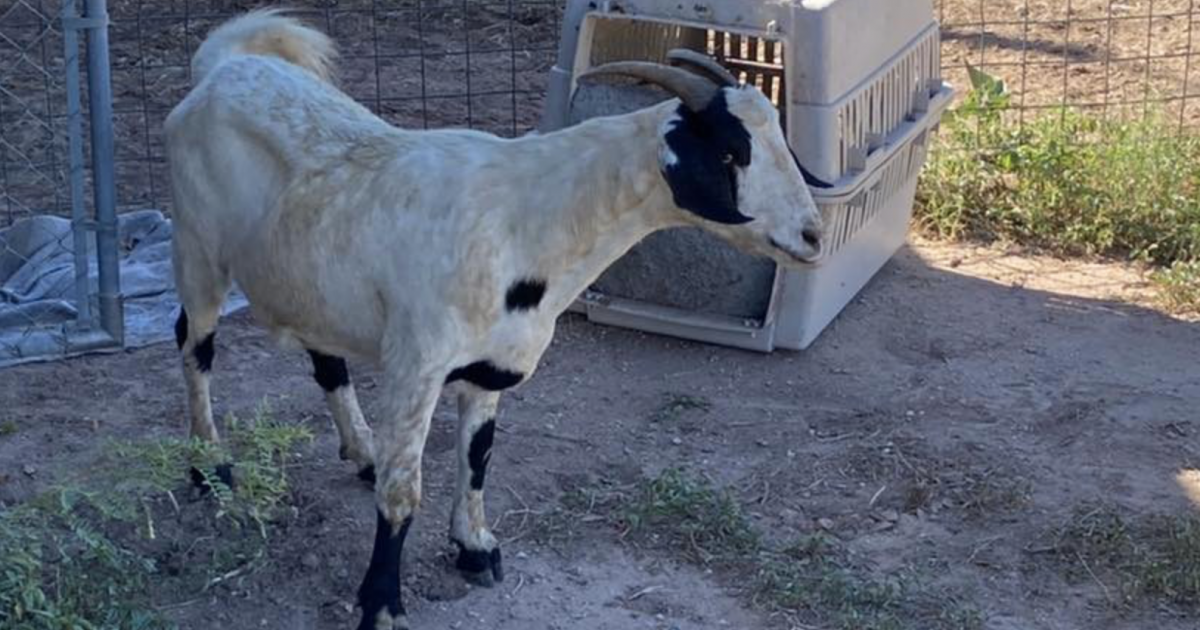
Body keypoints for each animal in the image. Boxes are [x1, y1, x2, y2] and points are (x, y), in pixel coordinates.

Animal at [166, 9, 826, 630]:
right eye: (730, 152)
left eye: (783, 146)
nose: (812, 236)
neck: (524, 221)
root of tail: (225, 65)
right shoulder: (416, 364)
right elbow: (402, 493)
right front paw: (381, 604)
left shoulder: (491, 363)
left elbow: (478, 457)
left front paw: (475, 549)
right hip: (197, 247)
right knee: (195, 344)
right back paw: (209, 466)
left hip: (305, 277)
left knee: (324, 355)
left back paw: (362, 449)